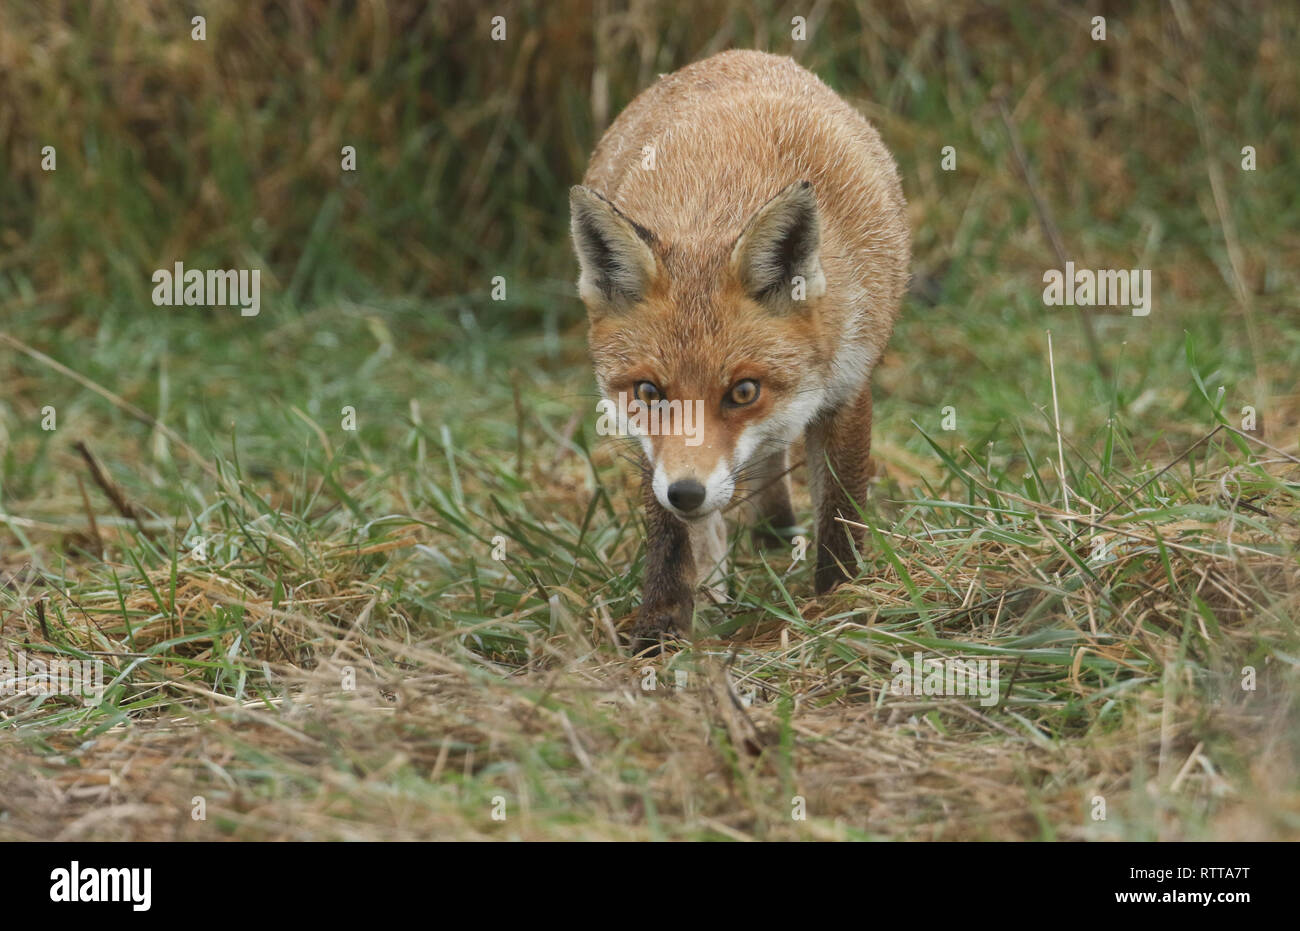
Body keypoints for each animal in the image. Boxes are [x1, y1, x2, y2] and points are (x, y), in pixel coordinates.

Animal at [570, 50, 910, 650]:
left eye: (744, 392)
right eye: (649, 391)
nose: (686, 492)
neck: (720, 200)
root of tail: (737, 55)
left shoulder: (847, 387)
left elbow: (841, 514)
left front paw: (839, 600)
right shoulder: (653, 448)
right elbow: (672, 541)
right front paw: (661, 627)